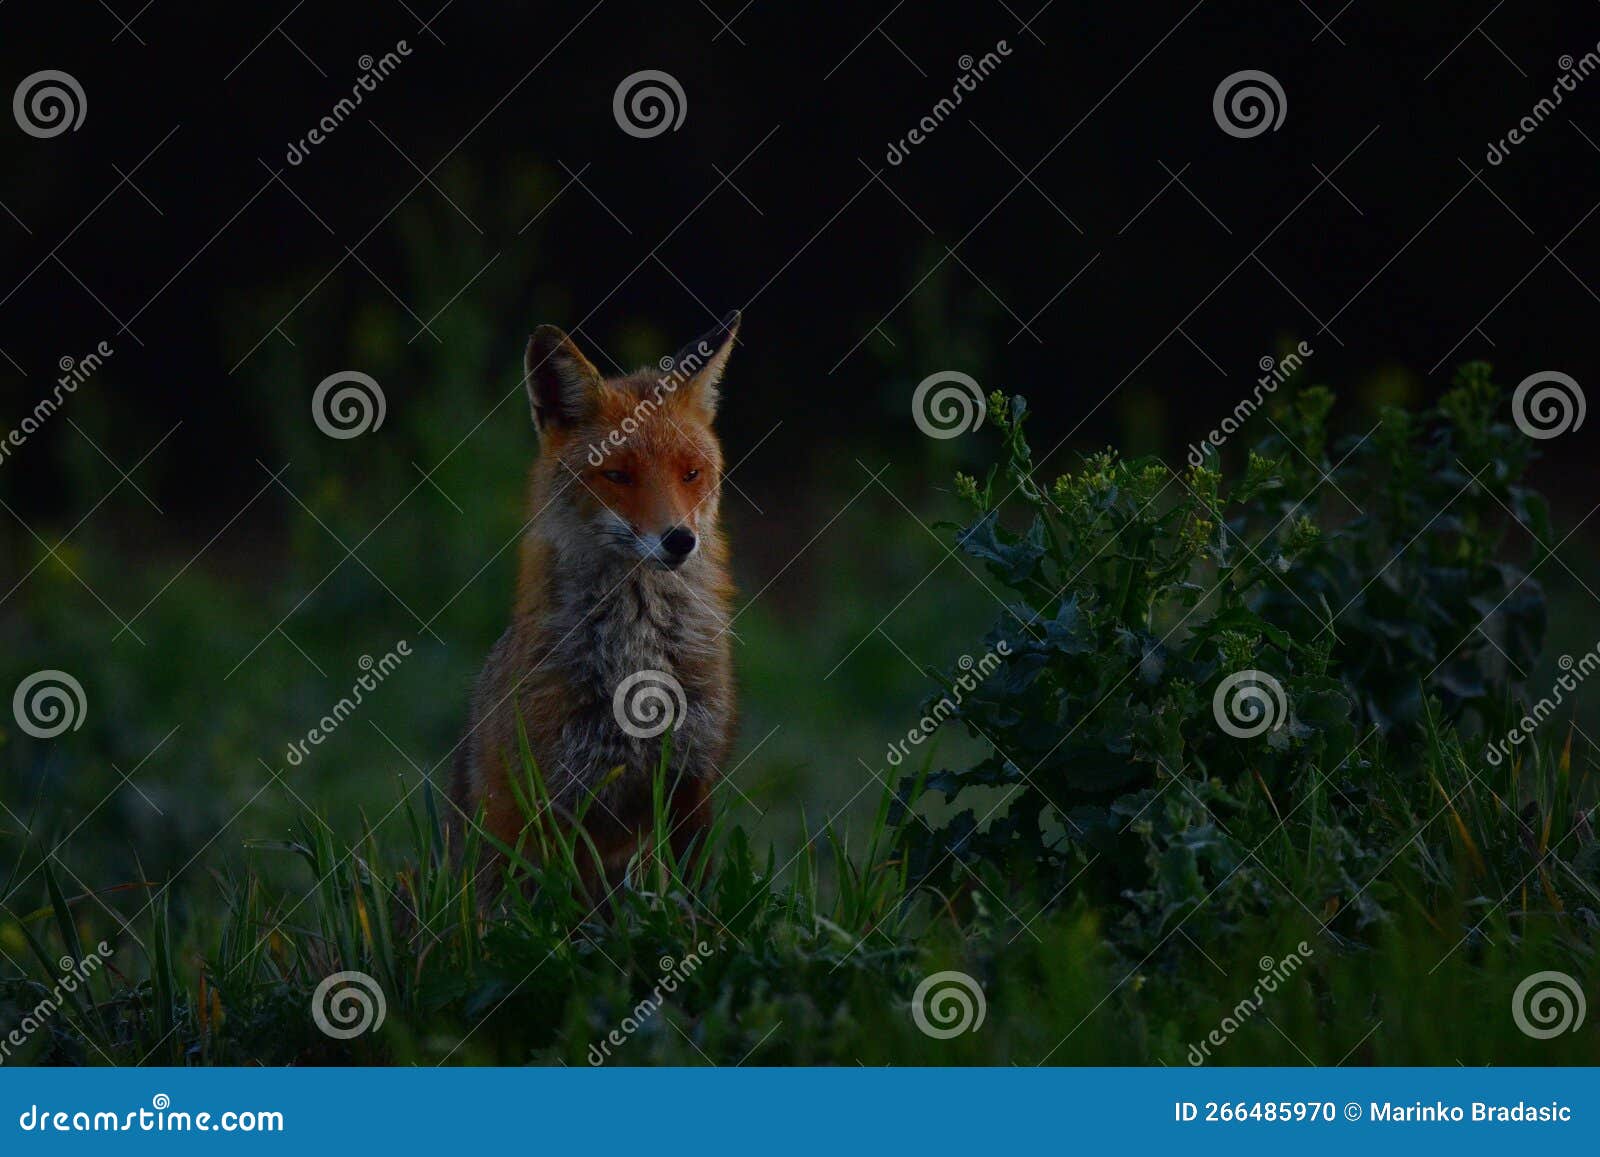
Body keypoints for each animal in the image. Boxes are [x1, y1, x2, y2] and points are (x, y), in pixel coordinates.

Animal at [450, 311, 741, 896]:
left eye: (691, 473)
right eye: (619, 475)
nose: (679, 540)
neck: (638, 650)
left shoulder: (691, 778)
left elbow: (694, 895)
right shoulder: (566, 796)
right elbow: (583, 910)